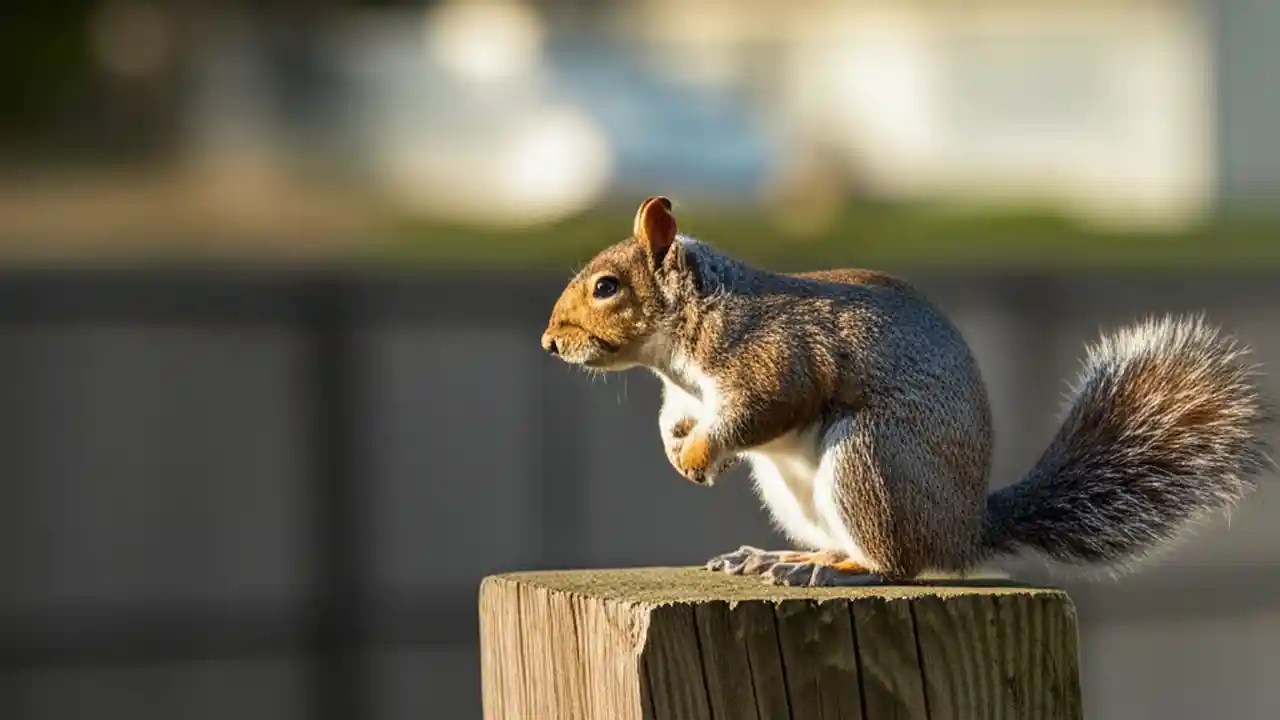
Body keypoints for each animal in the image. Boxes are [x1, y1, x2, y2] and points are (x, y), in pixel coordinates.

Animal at [540, 196, 1274, 586]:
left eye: (606, 286)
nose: (549, 342)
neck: (679, 353)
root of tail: (964, 531)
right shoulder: (686, 395)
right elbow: (678, 418)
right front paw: (679, 448)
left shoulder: (773, 356)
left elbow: (763, 406)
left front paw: (699, 453)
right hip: (801, 488)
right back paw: (794, 555)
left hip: (870, 460)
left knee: (898, 564)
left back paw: (837, 570)